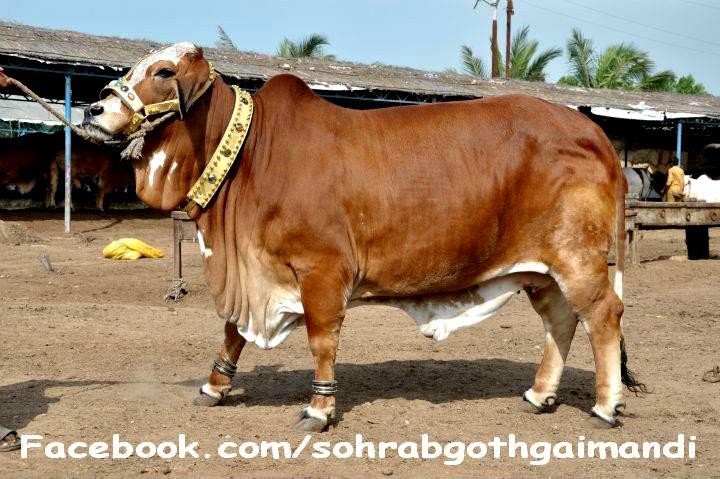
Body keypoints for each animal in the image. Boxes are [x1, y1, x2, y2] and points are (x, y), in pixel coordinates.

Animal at [80, 43, 644, 431]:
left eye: (163, 72)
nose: (92, 109)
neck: (252, 157)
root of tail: (593, 132)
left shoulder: (321, 271)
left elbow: (321, 341)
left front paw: (318, 408)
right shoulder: (253, 272)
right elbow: (232, 332)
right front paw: (214, 386)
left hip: (578, 258)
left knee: (604, 316)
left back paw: (604, 406)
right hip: (540, 270)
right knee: (561, 320)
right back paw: (539, 394)